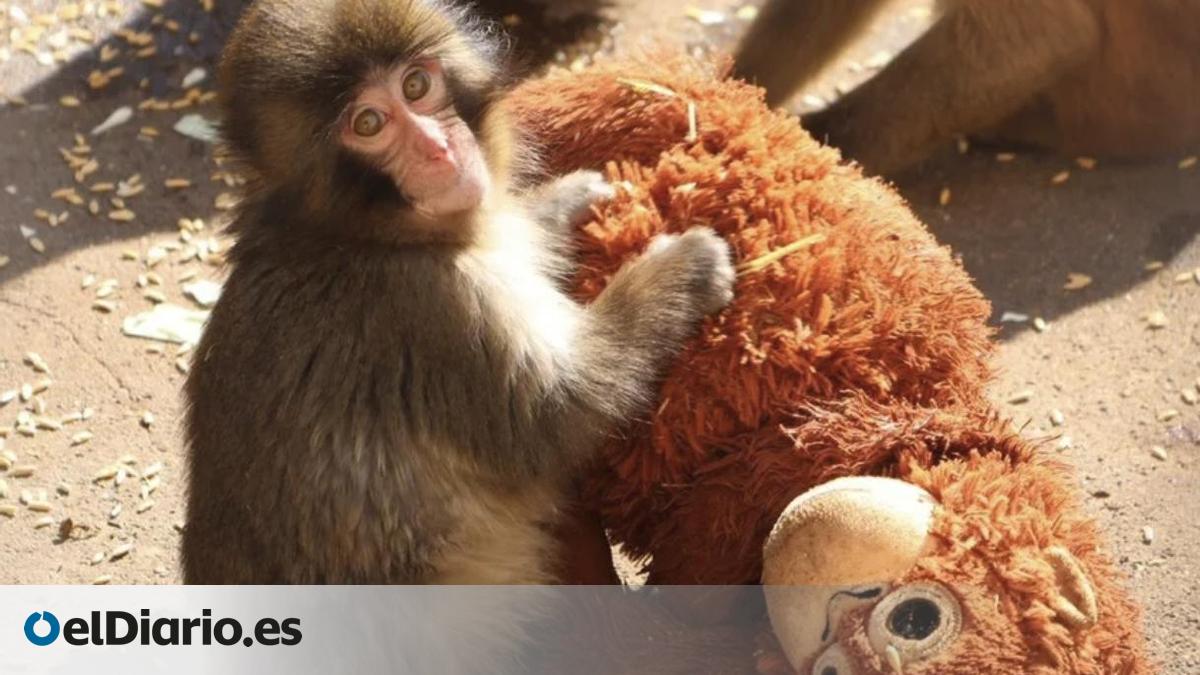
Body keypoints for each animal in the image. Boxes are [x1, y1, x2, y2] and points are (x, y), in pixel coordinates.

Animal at [181, 0, 735, 585]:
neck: (355, 235)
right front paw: (683, 269)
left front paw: (567, 201)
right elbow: (559, 412)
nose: (438, 148)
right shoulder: (432, 306)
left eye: (416, 85)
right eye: (368, 123)